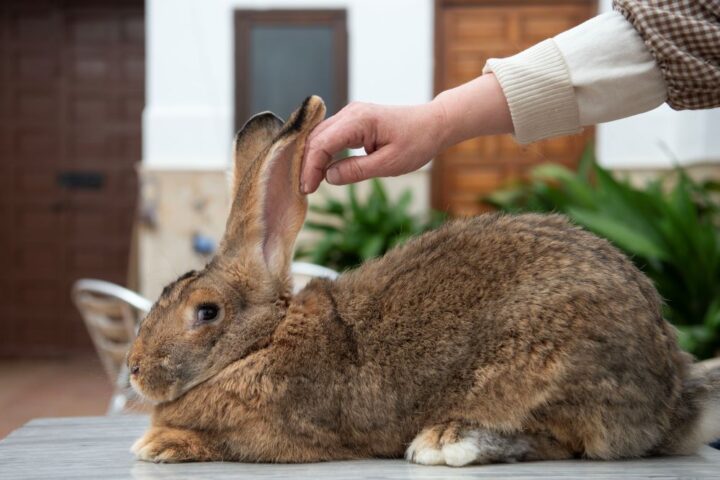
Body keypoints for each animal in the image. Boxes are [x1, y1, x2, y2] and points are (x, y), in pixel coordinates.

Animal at [128, 96, 720, 466]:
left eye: (206, 311)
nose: (133, 369)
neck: (262, 342)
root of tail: (672, 392)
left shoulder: (277, 434)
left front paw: (158, 445)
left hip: (550, 368)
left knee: (562, 442)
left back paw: (447, 441)